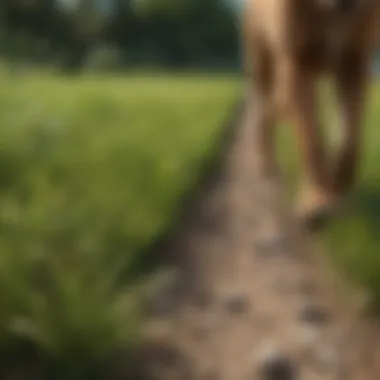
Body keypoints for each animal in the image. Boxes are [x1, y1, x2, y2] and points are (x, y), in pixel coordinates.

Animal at [242, 0, 380, 227]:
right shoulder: (298, 67)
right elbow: (312, 143)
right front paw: (315, 199)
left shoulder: (354, 65)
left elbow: (348, 143)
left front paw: (336, 191)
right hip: (262, 67)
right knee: (265, 117)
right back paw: (268, 167)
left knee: (274, 111)